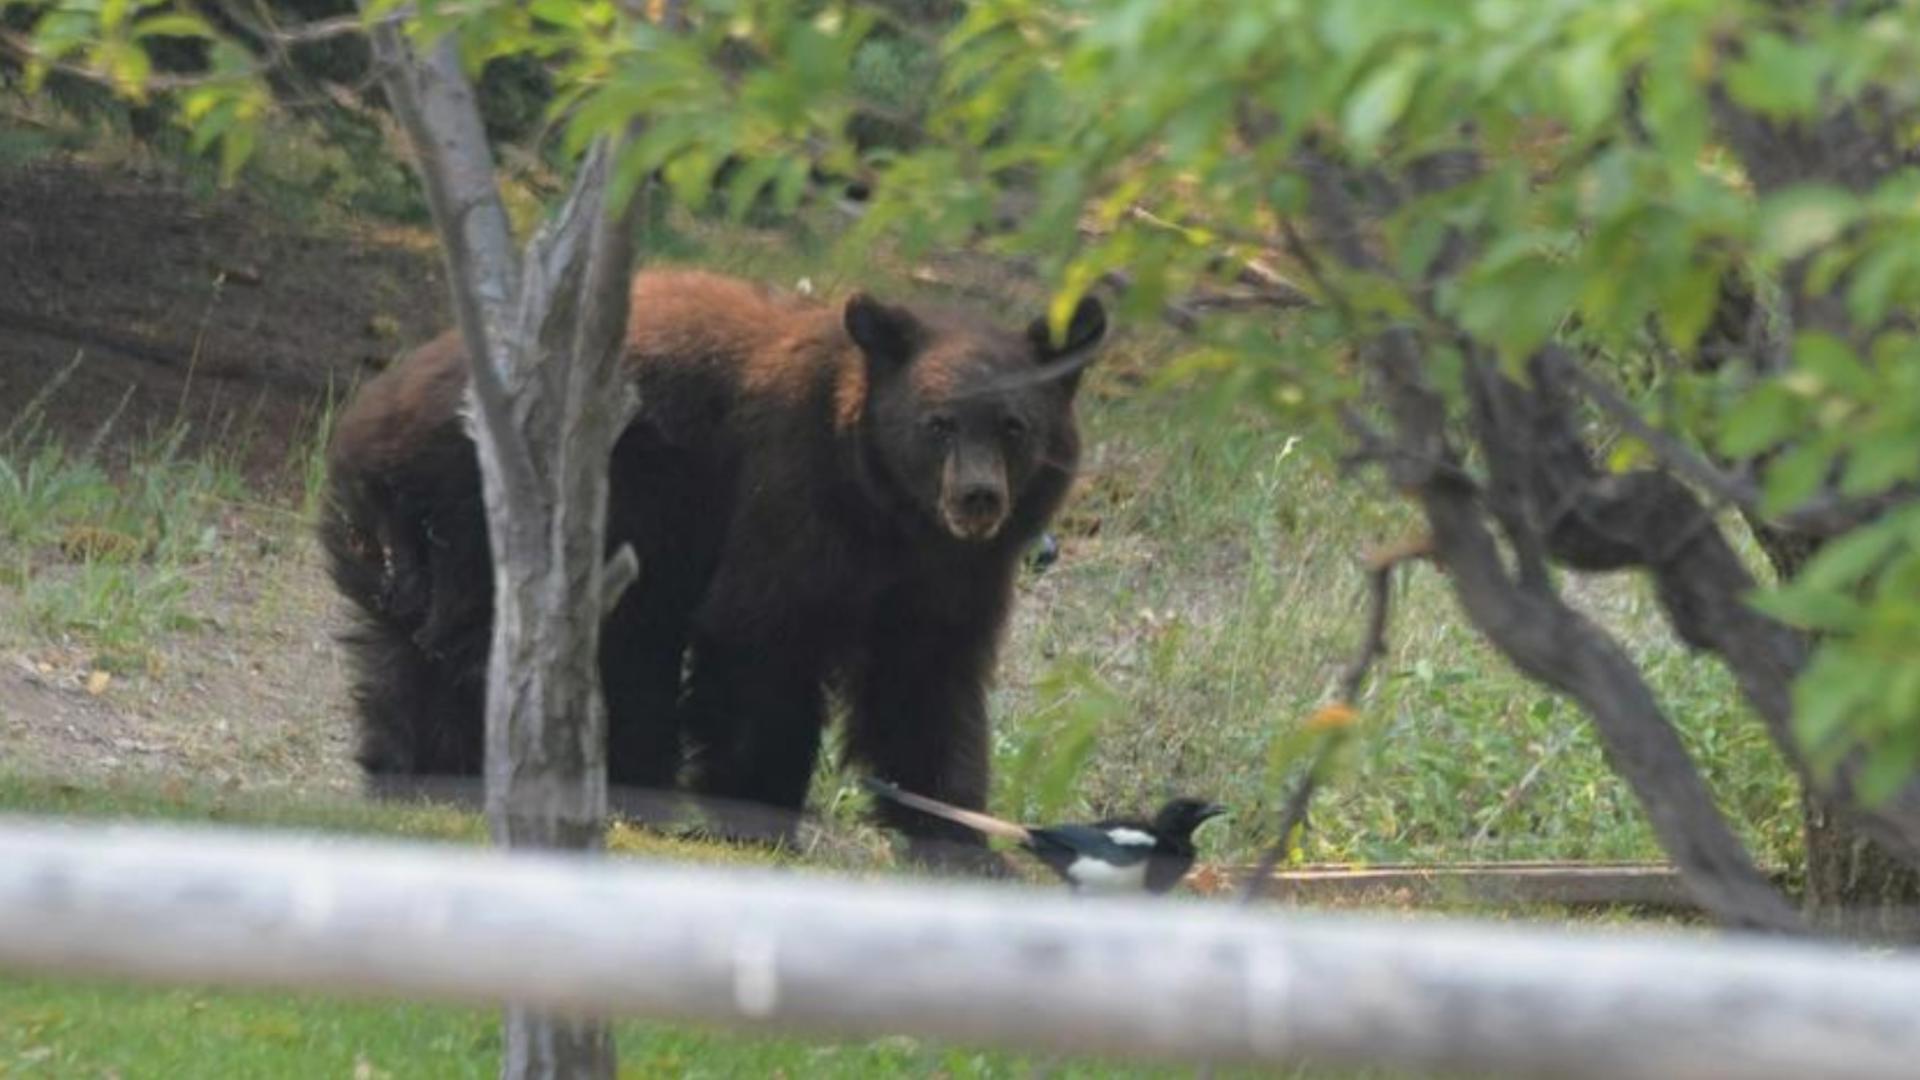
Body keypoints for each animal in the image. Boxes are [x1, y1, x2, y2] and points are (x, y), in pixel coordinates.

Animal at [320, 268, 1107, 860]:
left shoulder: (951, 576)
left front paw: (955, 834)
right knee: (487, 649)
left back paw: (416, 769)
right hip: (492, 511)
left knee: (417, 654)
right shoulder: (789, 491)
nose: (977, 498)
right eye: (937, 424)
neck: (888, 513)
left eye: (1013, 427)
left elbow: (927, 680)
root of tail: (371, 414)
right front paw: (760, 811)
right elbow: (760, 634)